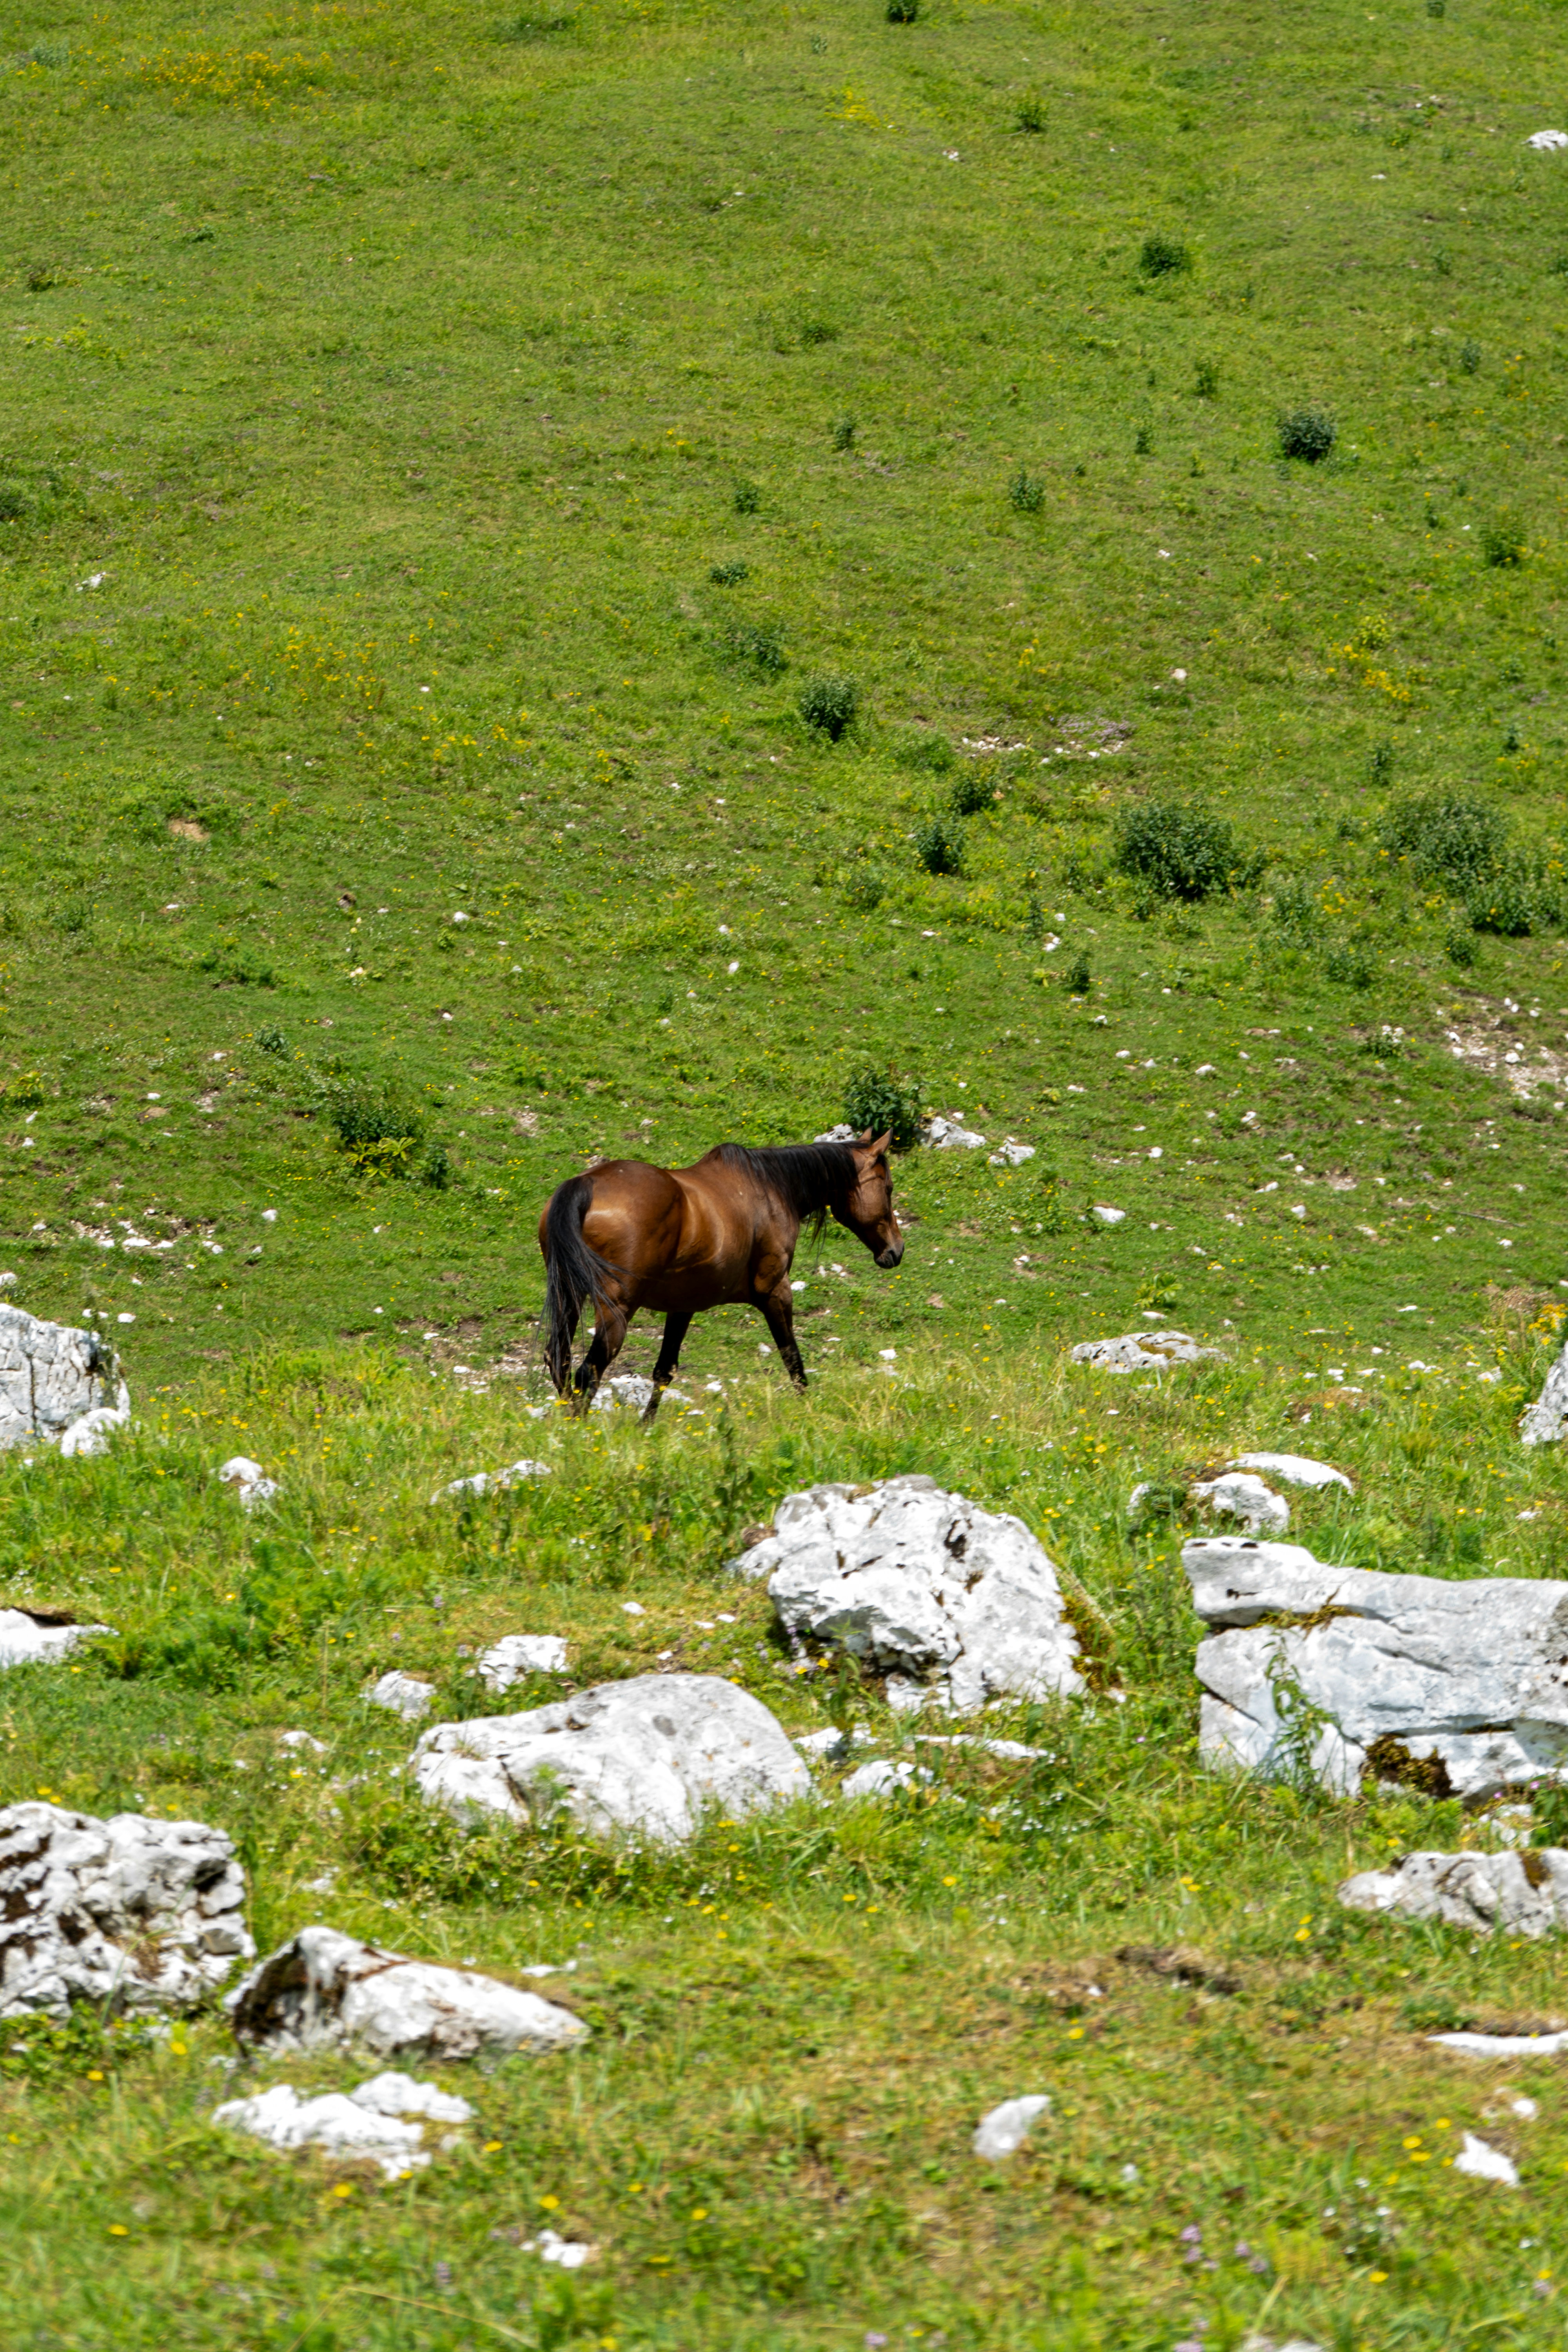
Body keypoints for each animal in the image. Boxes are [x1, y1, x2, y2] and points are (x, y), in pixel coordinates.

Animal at [538, 1131, 903, 1417]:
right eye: (888, 1188)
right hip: (616, 1311)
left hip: (570, 1297)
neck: (771, 1188)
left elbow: (664, 1371)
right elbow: (793, 1360)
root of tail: (586, 1184)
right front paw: (809, 1412)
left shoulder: (682, 1306)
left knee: (560, 1361)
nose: (896, 1251)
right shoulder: (776, 1292)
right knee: (587, 1373)